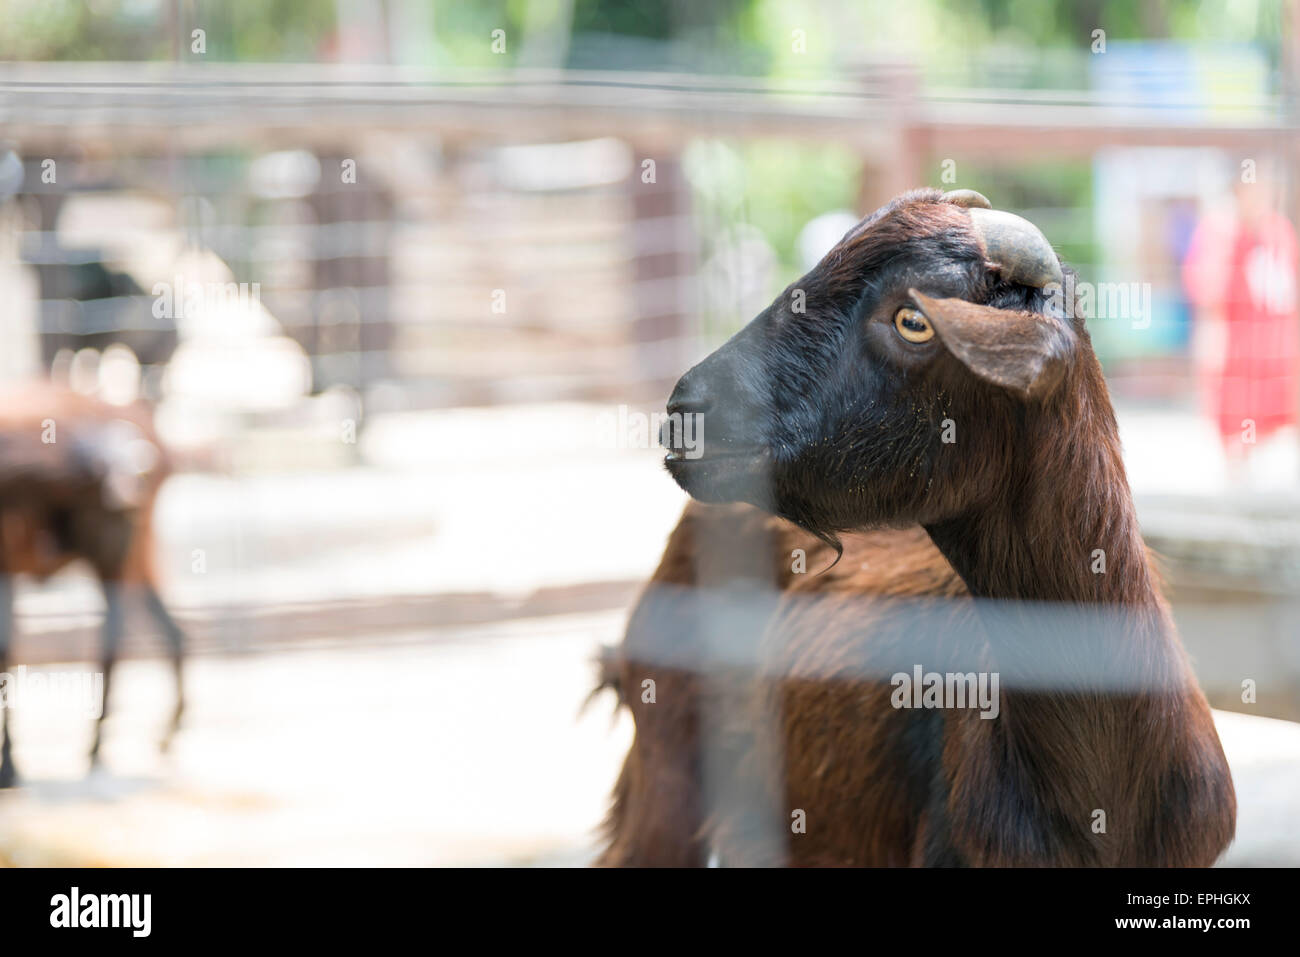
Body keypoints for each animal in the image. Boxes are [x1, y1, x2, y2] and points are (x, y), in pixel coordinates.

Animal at [0, 381, 184, 787]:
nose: (126, 488)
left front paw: (8, 766)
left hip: (122, 554)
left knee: (113, 640)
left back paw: (97, 747)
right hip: (134, 553)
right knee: (170, 627)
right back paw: (167, 731)